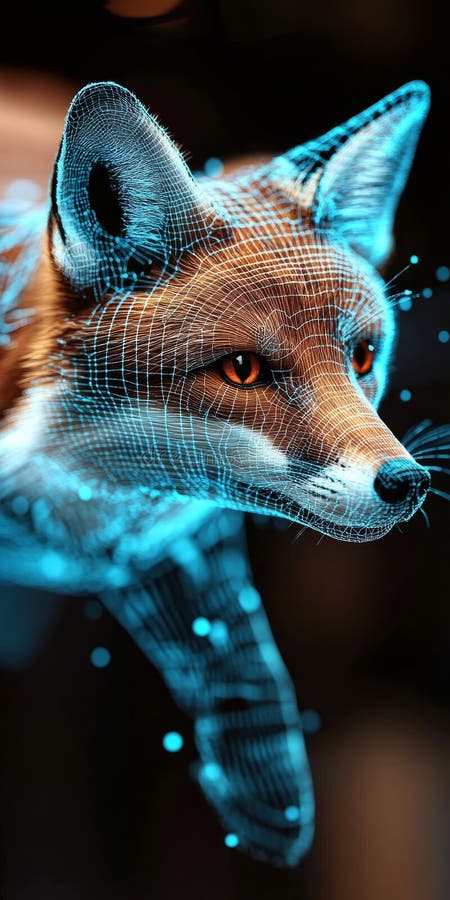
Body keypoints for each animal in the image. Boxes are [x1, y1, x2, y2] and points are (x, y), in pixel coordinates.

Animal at [0, 77, 440, 867]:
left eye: (362, 356)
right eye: (242, 369)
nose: (406, 482)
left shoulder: (179, 543)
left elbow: (236, 660)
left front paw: (267, 792)